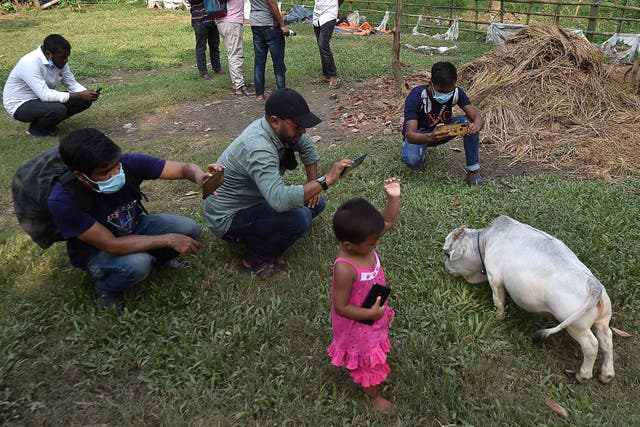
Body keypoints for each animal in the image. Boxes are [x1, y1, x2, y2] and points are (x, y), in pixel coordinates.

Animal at [443, 215, 615, 383]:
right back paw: (606, 374)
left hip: (577, 326)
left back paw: (583, 375)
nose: (446, 267)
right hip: (602, 320)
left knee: (592, 346)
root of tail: (593, 284)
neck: (487, 239)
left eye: (447, 254)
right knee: (607, 340)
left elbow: (498, 302)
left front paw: (496, 318)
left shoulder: (495, 279)